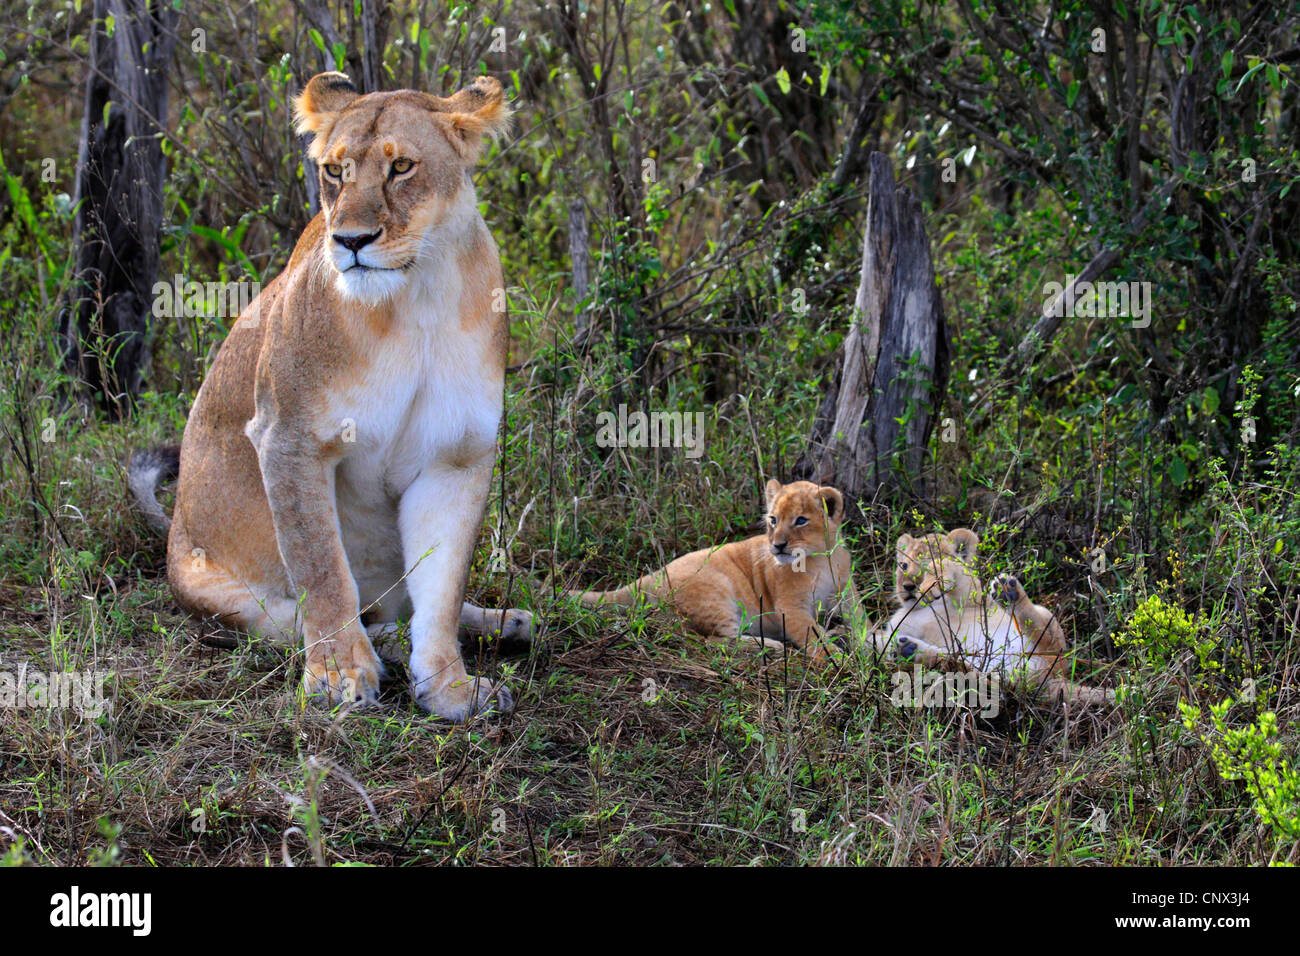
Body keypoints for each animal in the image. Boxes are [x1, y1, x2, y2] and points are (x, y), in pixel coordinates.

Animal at [127, 73, 534, 721]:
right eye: (335, 172)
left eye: (401, 167)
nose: (351, 239)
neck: (414, 299)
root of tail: (172, 534)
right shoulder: (288, 437)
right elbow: (322, 570)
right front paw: (342, 676)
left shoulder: (455, 456)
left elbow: (442, 587)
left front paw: (450, 688)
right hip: (218, 592)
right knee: (293, 620)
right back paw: (380, 642)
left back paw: (505, 623)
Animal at [570, 480, 859, 660]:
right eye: (773, 520)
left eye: (800, 521)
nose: (777, 546)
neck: (821, 558)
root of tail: (655, 575)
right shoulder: (790, 607)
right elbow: (812, 636)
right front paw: (837, 661)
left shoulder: (846, 595)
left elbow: (860, 621)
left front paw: (865, 644)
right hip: (718, 592)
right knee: (718, 640)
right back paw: (772, 647)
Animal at [875, 529, 1113, 705]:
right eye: (903, 565)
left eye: (925, 565)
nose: (907, 587)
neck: (914, 609)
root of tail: (1053, 678)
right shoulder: (890, 631)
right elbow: (872, 642)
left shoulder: (970, 596)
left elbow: (954, 569)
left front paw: (934, 581)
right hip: (987, 672)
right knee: (962, 667)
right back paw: (909, 651)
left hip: (1048, 623)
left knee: (1042, 634)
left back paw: (1009, 594)